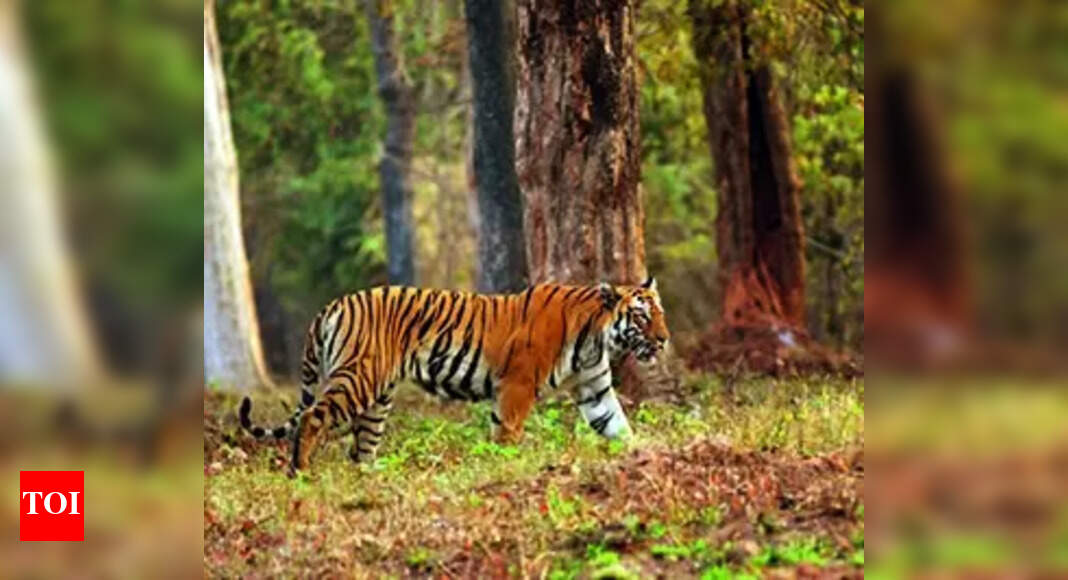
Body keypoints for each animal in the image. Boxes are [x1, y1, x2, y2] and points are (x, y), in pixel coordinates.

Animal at [239, 278, 669, 474]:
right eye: (642, 317)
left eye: (660, 313)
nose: (664, 339)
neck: (597, 338)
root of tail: (333, 305)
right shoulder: (517, 386)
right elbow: (507, 433)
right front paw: (504, 466)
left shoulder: (593, 389)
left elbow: (617, 426)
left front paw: (640, 455)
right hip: (359, 379)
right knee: (313, 417)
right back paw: (300, 473)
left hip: (378, 398)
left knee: (359, 447)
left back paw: (369, 478)